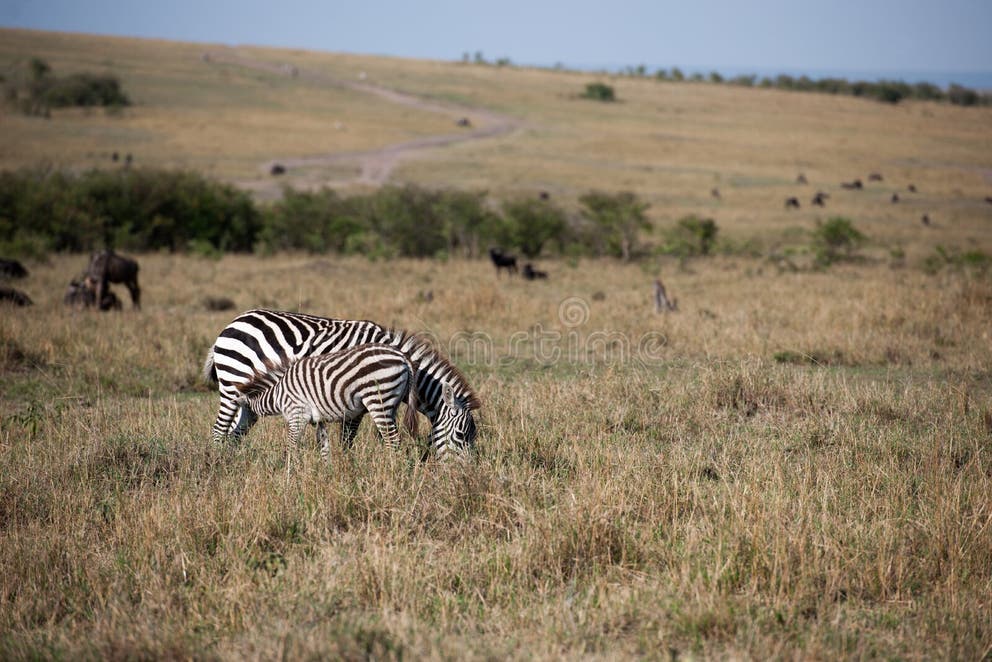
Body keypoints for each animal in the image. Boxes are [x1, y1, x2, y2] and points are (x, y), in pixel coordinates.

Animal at [239, 343, 421, 460]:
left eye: (238, 416)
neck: (278, 393)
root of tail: (402, 356)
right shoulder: (319, 420)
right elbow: (324, 447)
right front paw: (326, 473)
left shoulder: (297, 414)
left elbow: (290, 446)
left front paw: (288, 477)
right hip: (391, 405)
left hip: (378, 399)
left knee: (393, 441)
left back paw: (390, 472)